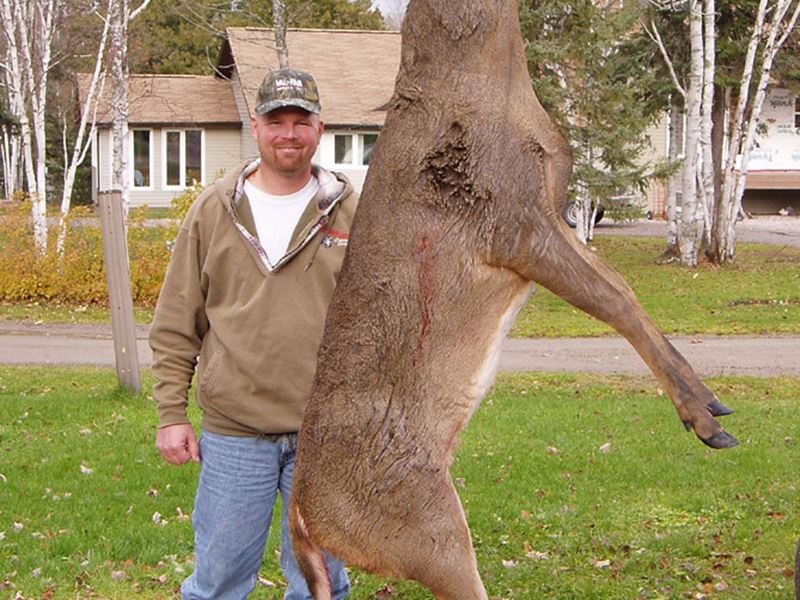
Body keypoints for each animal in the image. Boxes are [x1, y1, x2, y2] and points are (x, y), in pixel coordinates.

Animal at [288, 1, 738, 598]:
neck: (490, 75)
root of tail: (300, 513)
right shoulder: (509, 218)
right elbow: (612, 300)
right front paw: (704, 418)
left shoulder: (552, 208)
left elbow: (621, 287)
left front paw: (709, 404)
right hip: (425, 534)